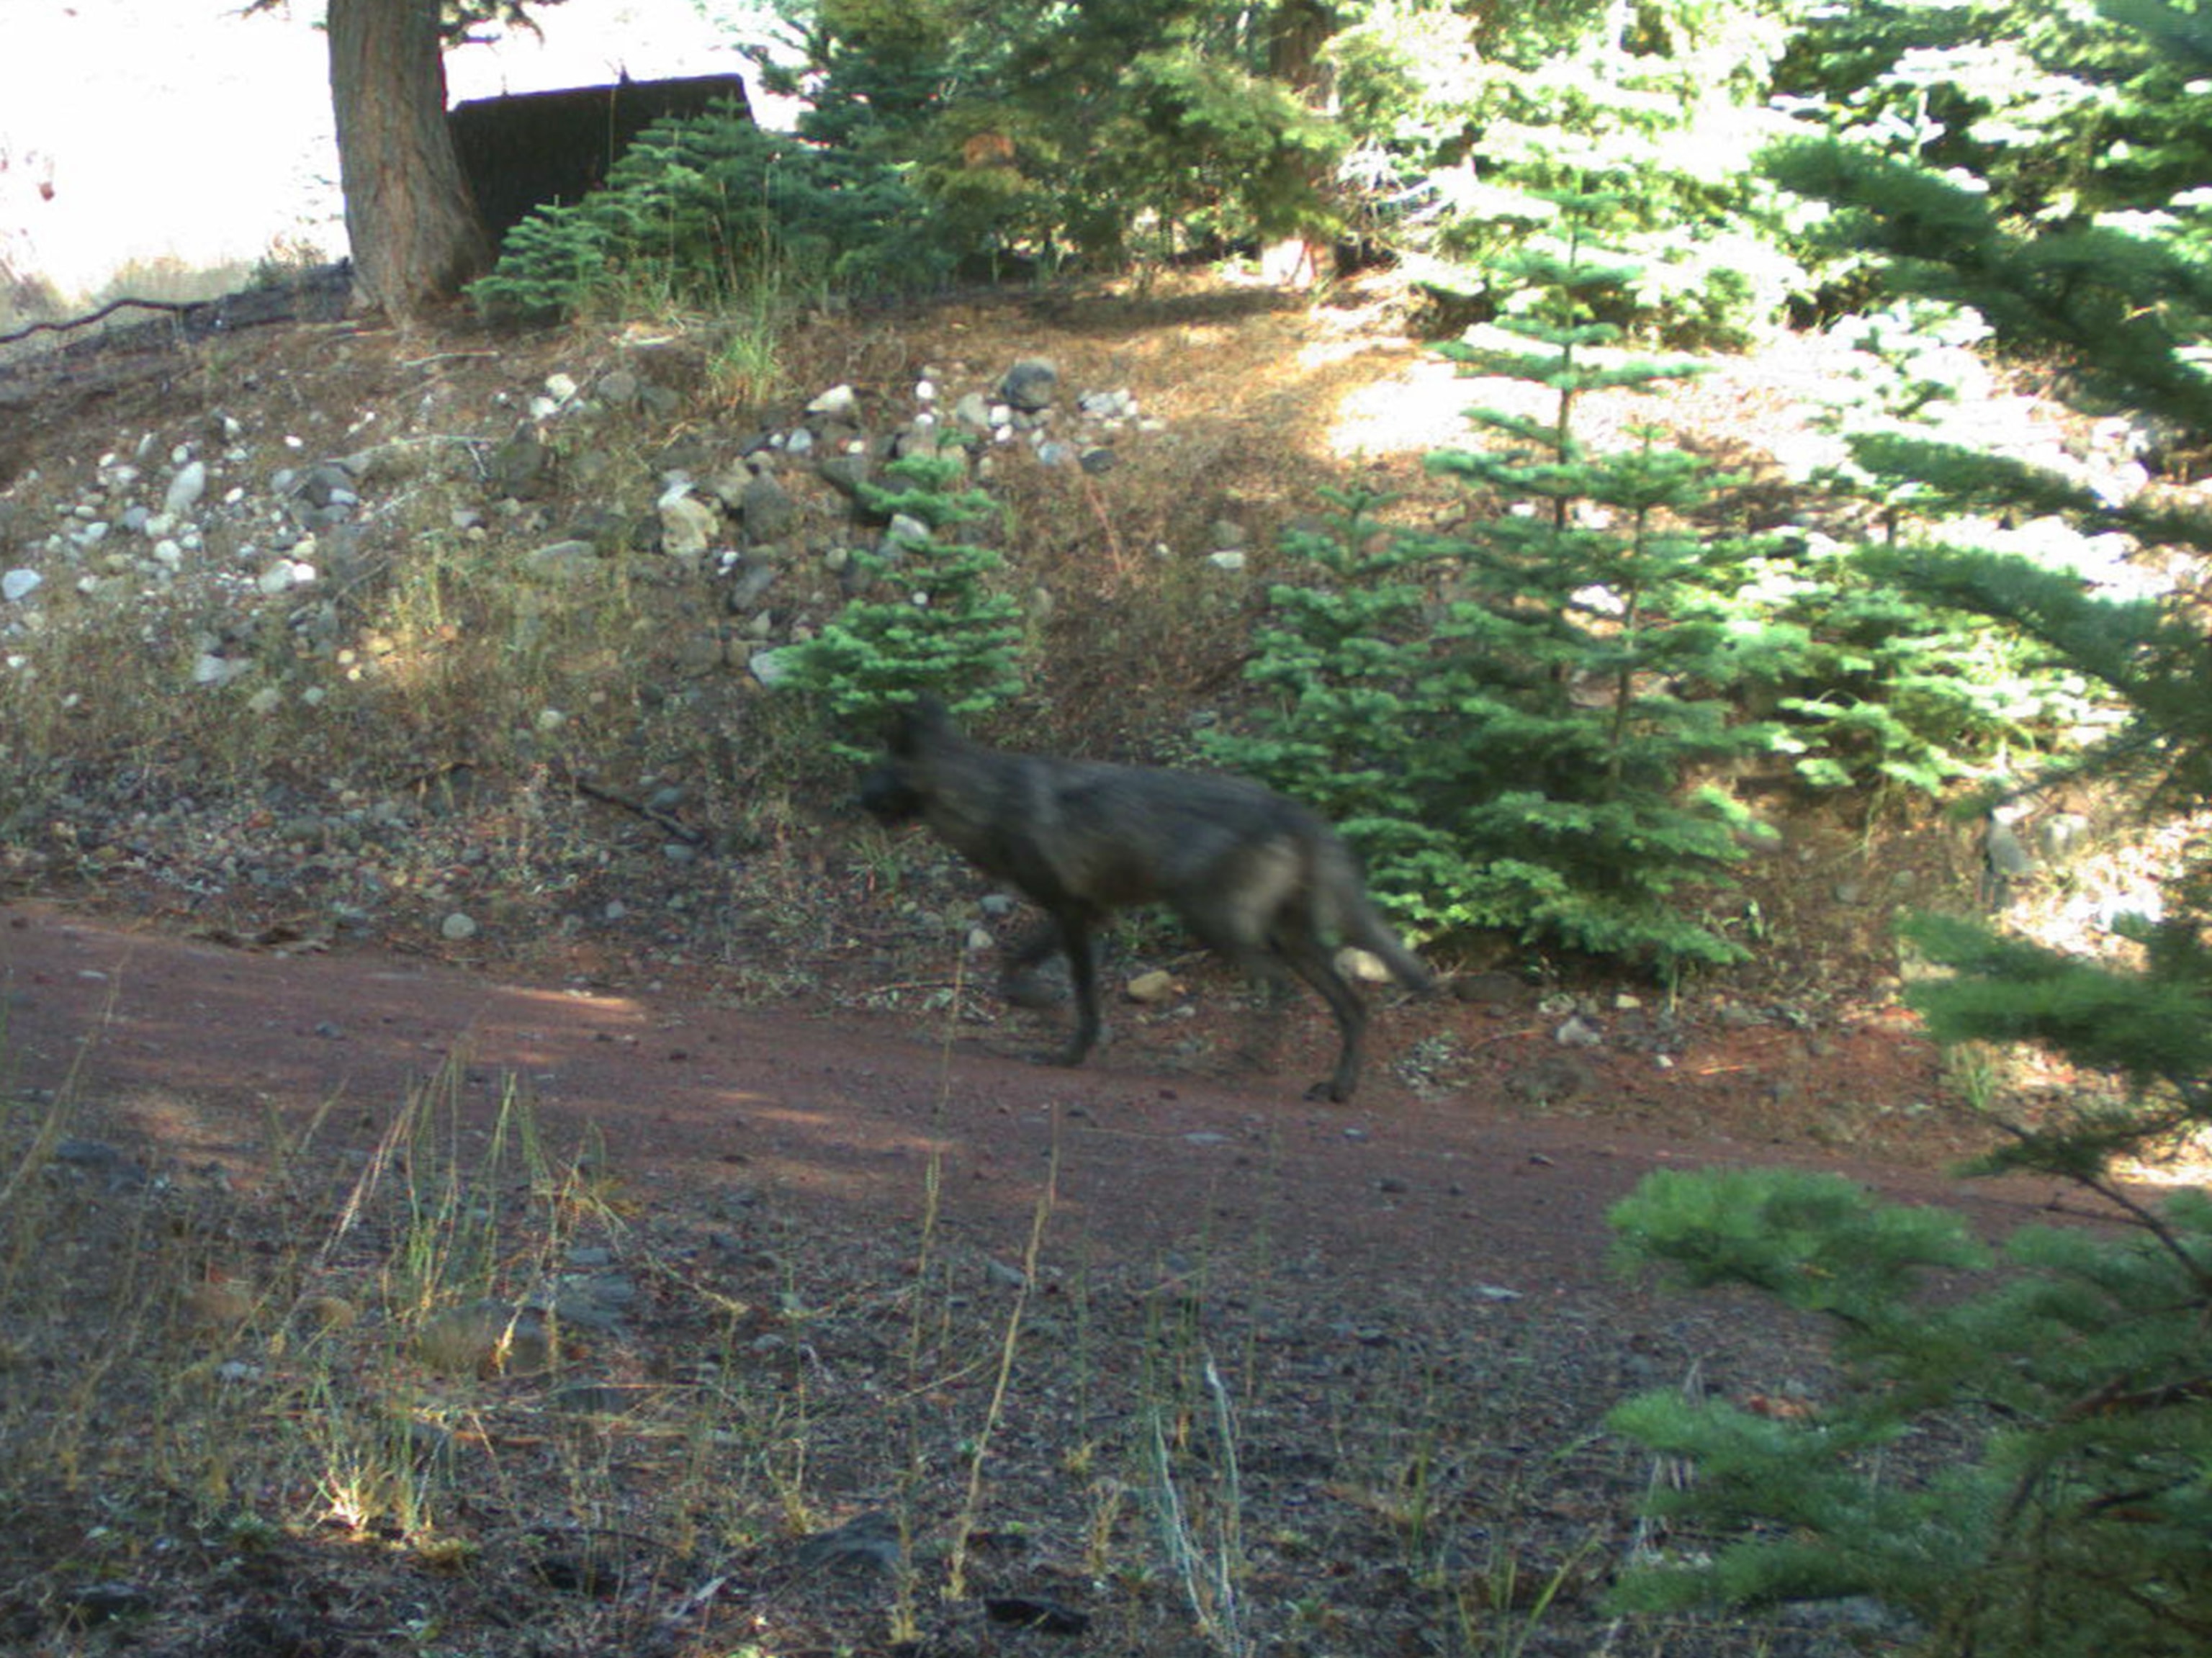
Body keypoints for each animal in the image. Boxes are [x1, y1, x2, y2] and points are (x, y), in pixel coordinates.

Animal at [859, 696, 1433, 1102]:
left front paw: (1067, 1048)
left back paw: (1247, 1065)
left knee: (1279, 987)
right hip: (1292, 940)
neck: (989, 798)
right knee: (1352, 1007)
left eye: (879, 771)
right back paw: (1338, 1089)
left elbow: (1082, 995)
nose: (855, 797)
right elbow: (1011, 966)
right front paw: (1041, 1006)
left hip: (1216, 924)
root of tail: (1296, 811)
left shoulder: (1075, 913)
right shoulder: (1086, 910)